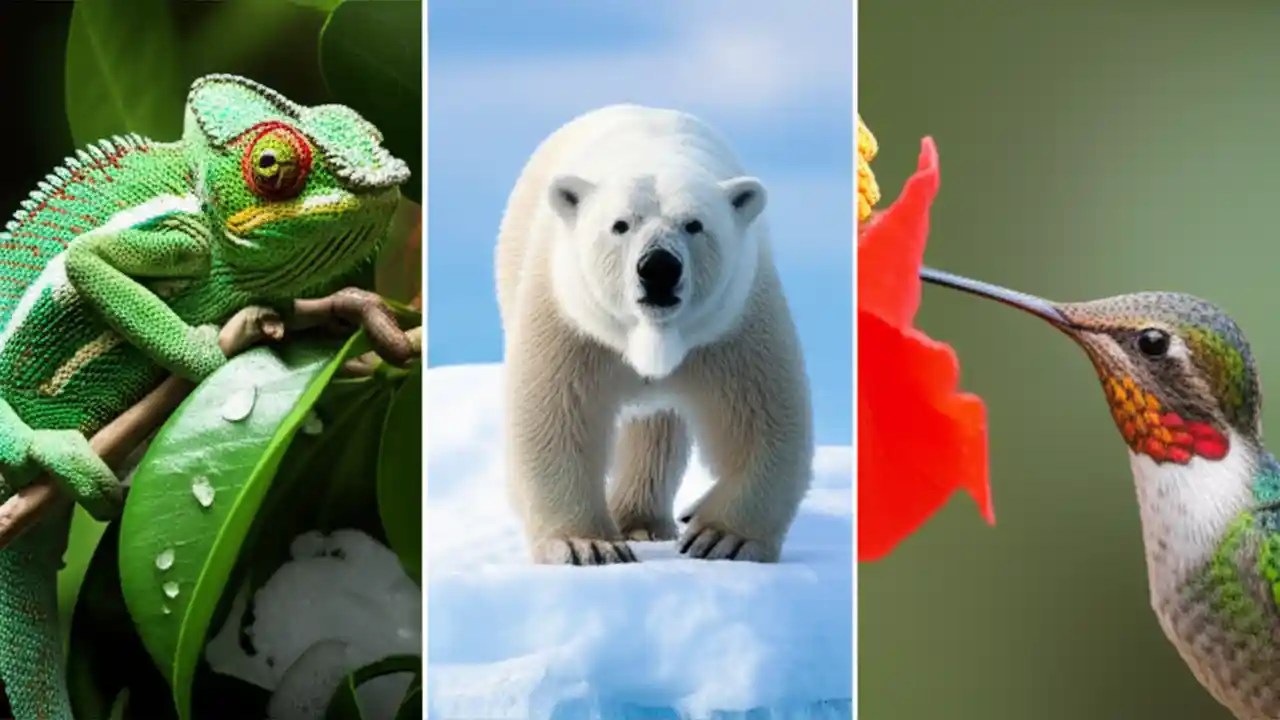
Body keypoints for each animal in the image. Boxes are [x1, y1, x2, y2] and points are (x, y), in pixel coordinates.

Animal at [495, 104, 814, 565]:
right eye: (620, 225)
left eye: (694, 224)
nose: (659, 268)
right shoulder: (570, 317)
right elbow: (553, 415)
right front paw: (585, 544)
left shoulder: (733, 319)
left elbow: (765, 419)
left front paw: (722, 538)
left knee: (660, 424)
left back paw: (653, 519)